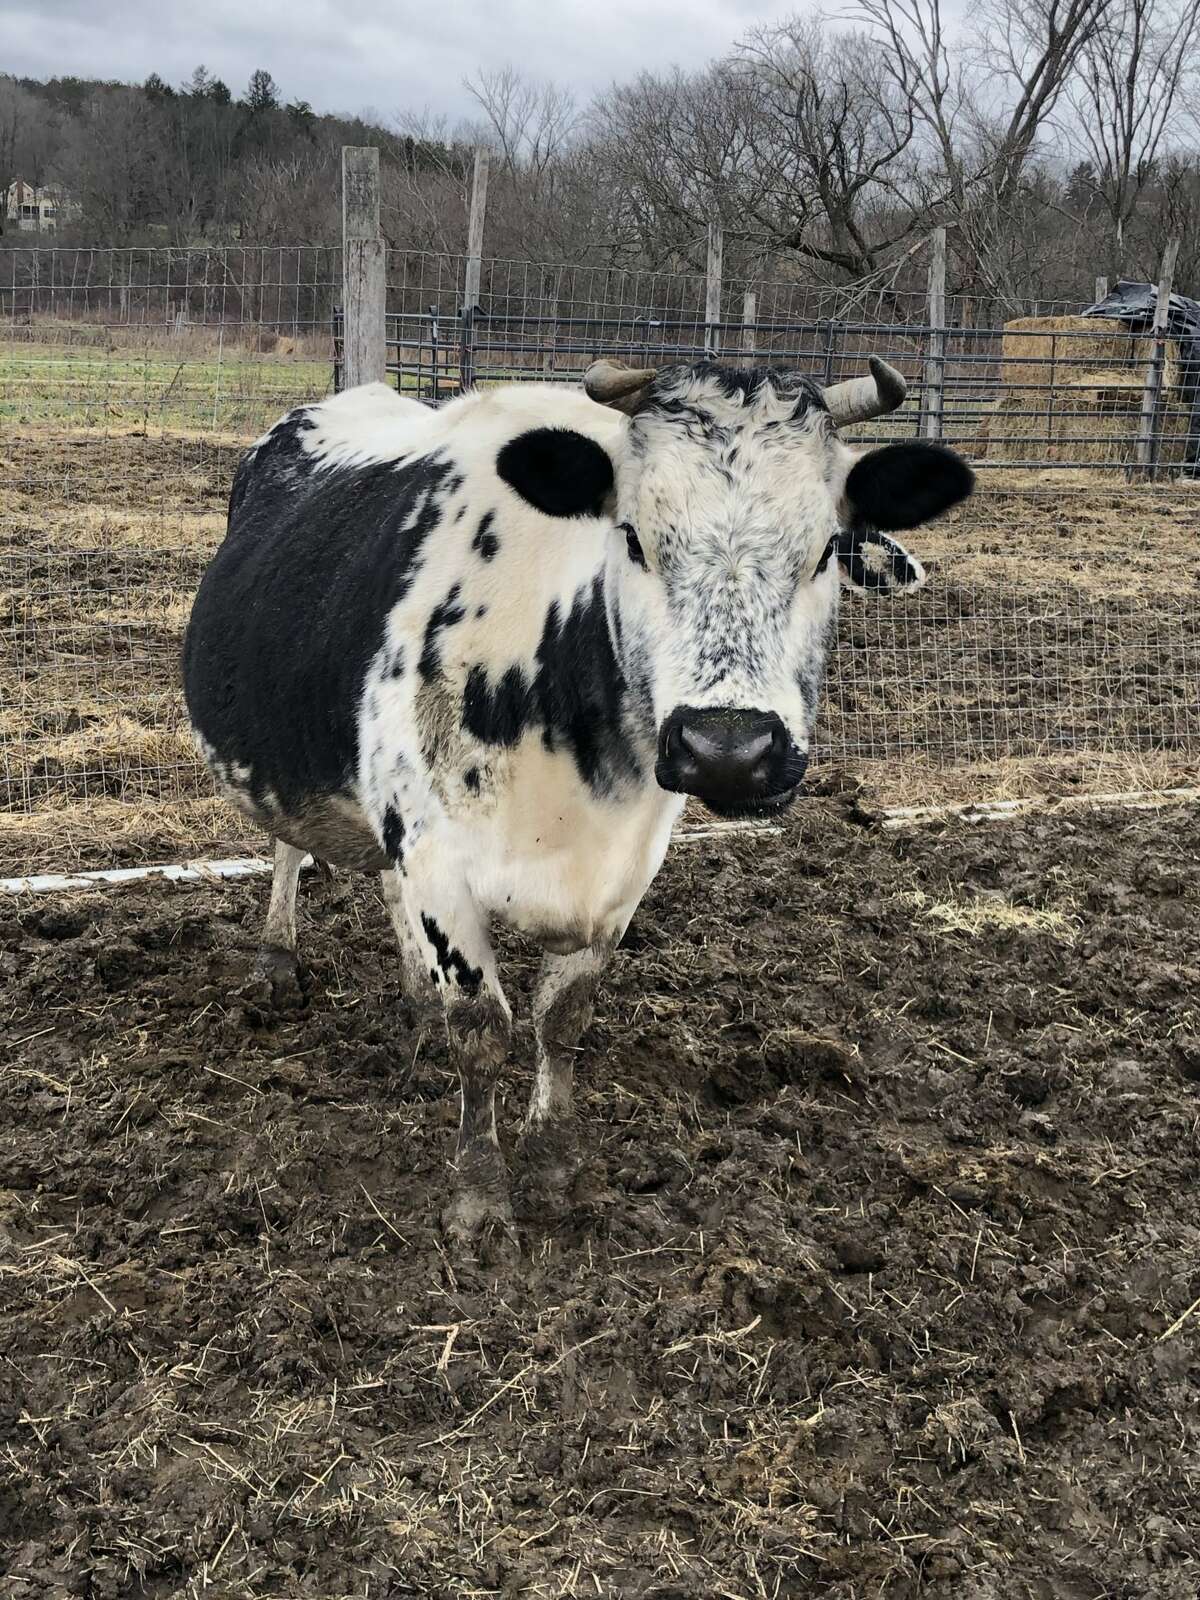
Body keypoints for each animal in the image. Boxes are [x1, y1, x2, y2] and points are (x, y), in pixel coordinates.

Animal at [183, 357, 973, 1249]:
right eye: (631, 537)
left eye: (827, 549)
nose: (728, 749)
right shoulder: (437, 859)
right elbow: (482, 1031)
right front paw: (480, 1198)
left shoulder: (622, 874)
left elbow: (562, 1019)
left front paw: (555, 1162)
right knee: (289, 848)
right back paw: (278, 959)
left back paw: (413, 1003)